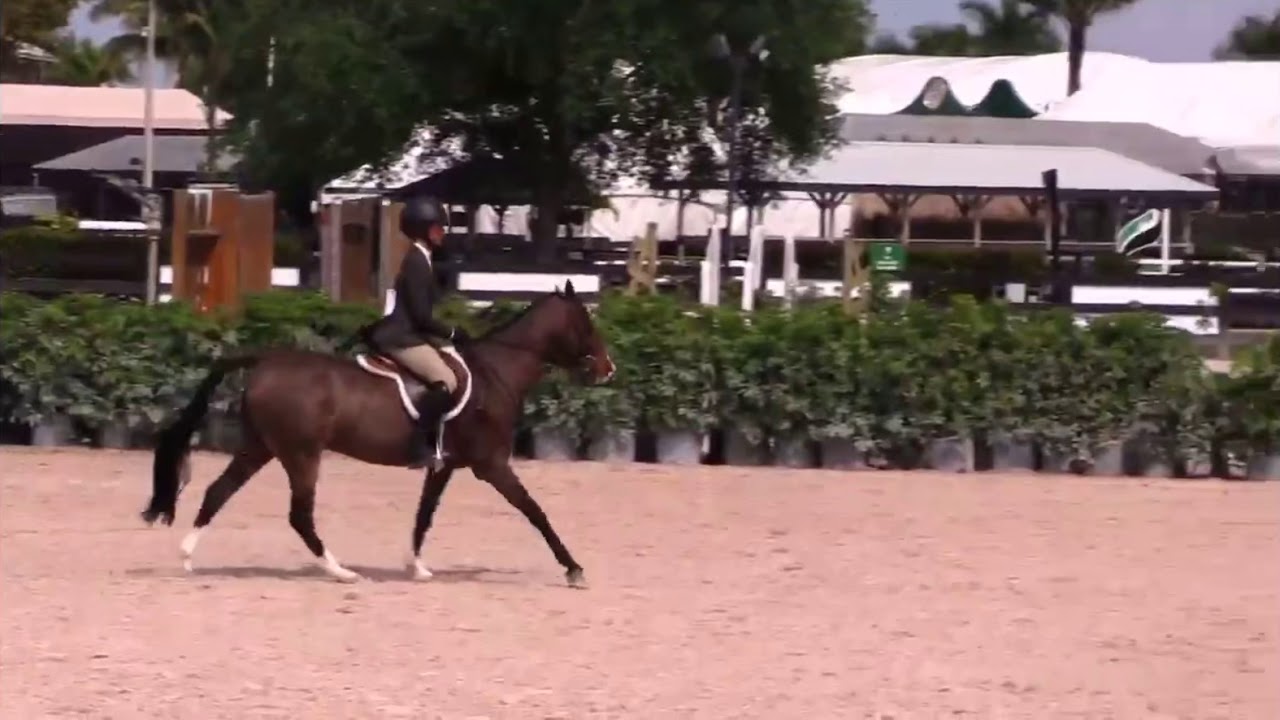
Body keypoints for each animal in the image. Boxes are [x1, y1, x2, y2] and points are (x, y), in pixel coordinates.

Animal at [140, 281, 615, 586]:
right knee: (299, 515)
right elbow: (535, 511)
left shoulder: (445, 465)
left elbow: (424, 515)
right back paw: (340, 571)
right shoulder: (491, 465)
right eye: (586, 325)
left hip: (260, 448)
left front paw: (416, 567)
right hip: (301, 454)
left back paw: (186, 558)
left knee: (218, 491)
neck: (496, 373)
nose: (608, 369)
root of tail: (264, 360)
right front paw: (573, 568)